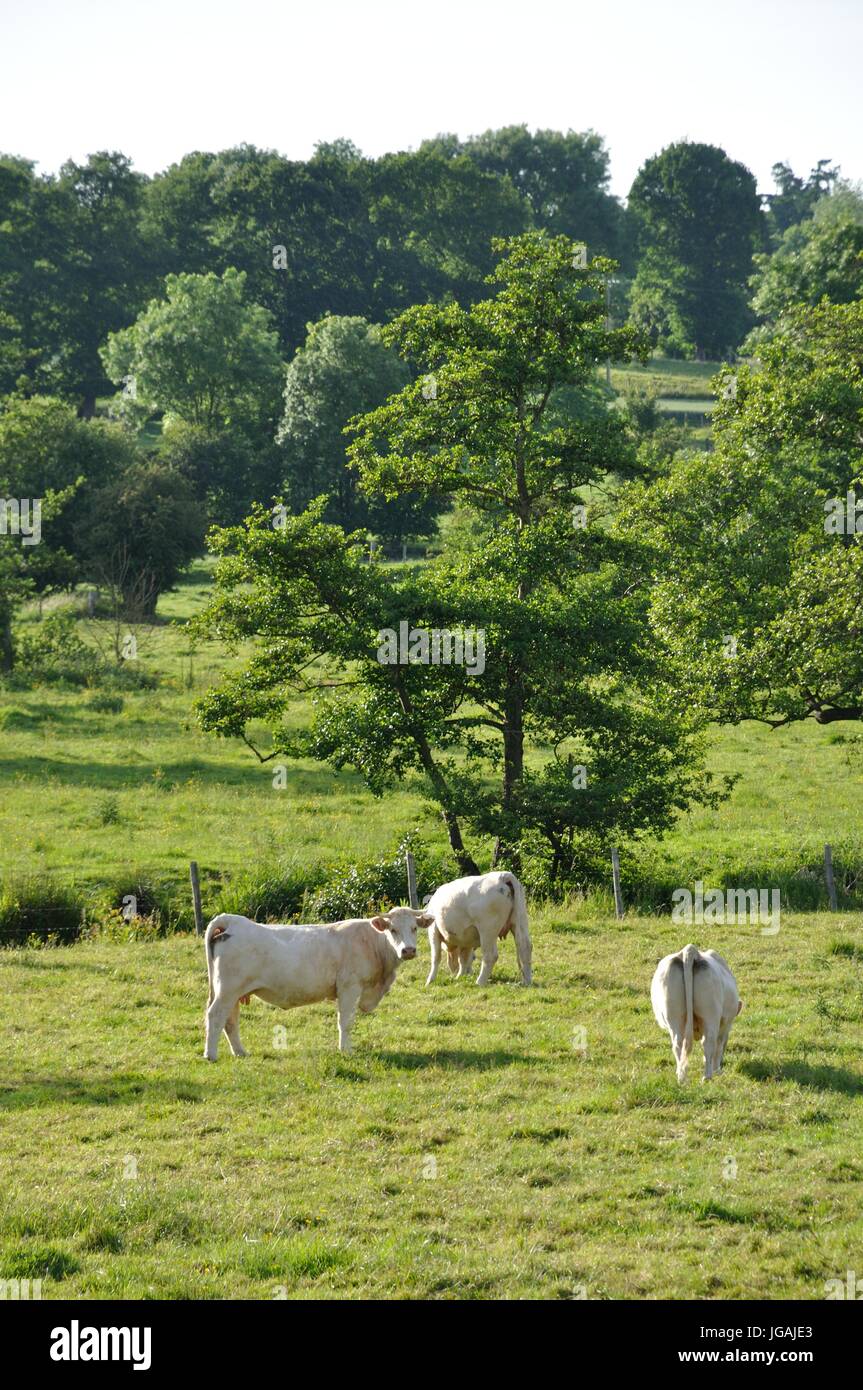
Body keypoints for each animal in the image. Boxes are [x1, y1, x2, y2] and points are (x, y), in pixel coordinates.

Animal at [203, 907, 432, 1061]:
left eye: (414, 928)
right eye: (393, 930)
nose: (408, 950)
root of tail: (233, 920)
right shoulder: (349, 987)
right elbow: (345, 1021)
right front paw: (346, 1050)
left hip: (232, 993)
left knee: (230, 1020)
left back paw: (240, 1052)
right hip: (228, 991)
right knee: (216, 1015)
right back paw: (210, 1055)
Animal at [650, 944, 742, 1082]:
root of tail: (690, 951)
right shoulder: (725, 1024)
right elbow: (719, 1045)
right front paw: (717, 1070)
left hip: (674, 1016)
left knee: (678, 1044)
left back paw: (681, 1077)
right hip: (710, 1015)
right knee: (709, 1043)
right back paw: (707, 1076)